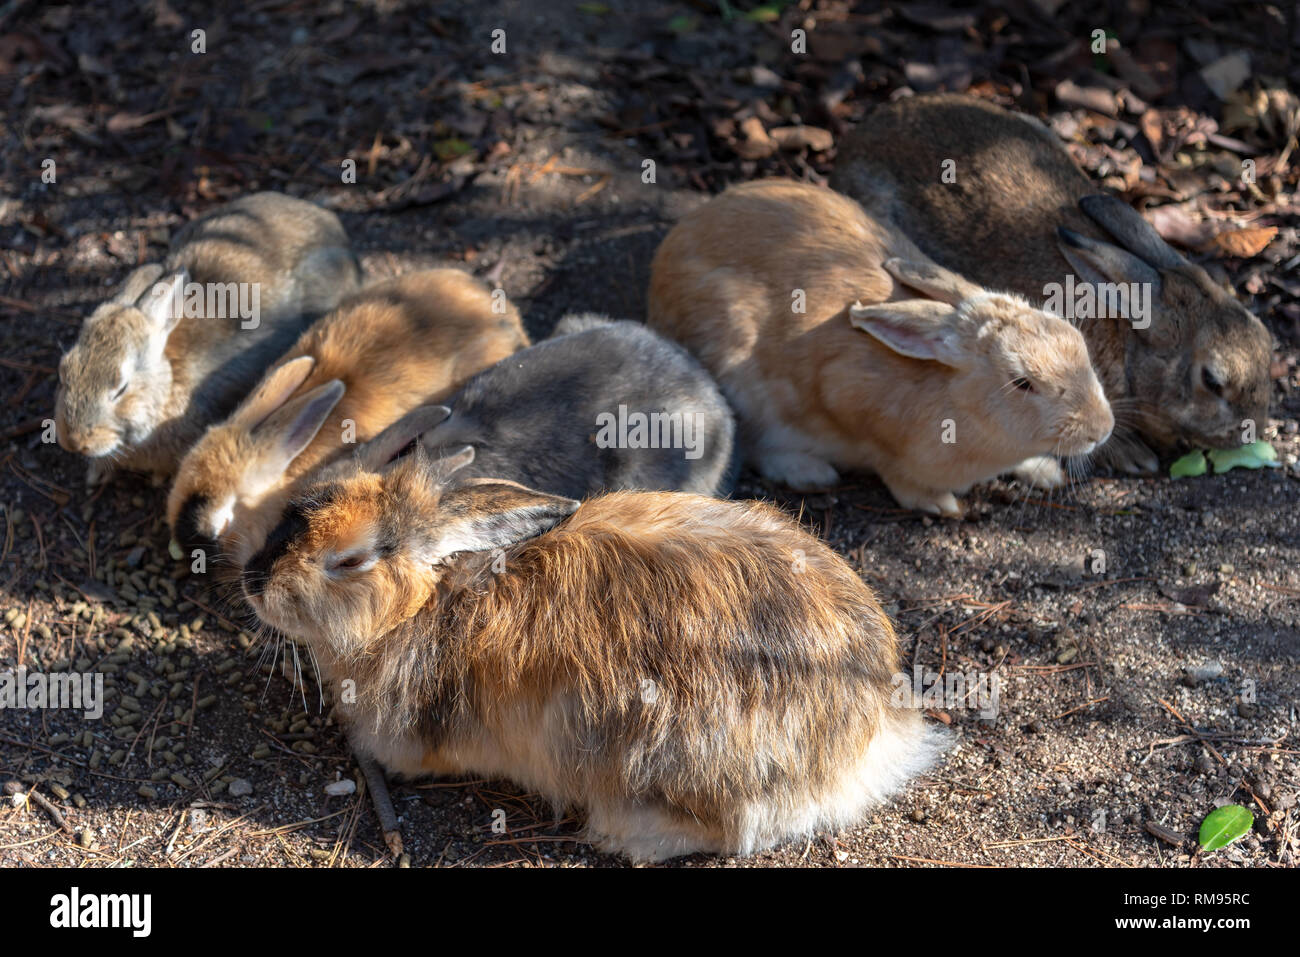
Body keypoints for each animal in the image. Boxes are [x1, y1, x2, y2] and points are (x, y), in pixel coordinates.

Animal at [238, 429, 947, 862]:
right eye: (309, 501)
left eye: (349, 561)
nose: (253, 580)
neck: (426, 604)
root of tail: (872, 735)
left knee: (731, 830)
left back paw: (627, 837)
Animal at [646, 178, 1114, 517]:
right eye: (1022, 383)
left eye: (1078, 342)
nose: (1102, 429)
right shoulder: (848, 400)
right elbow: (888, 465)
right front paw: (938, 503)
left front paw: (1045, 472)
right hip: (738, 383)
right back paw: (809, 473)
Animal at [830, 93, 1274, 474]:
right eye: (1212, 381)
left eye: (1266, 340)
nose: (1248, 432)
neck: (1128, 335)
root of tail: (857, 138)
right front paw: (1134, 457)